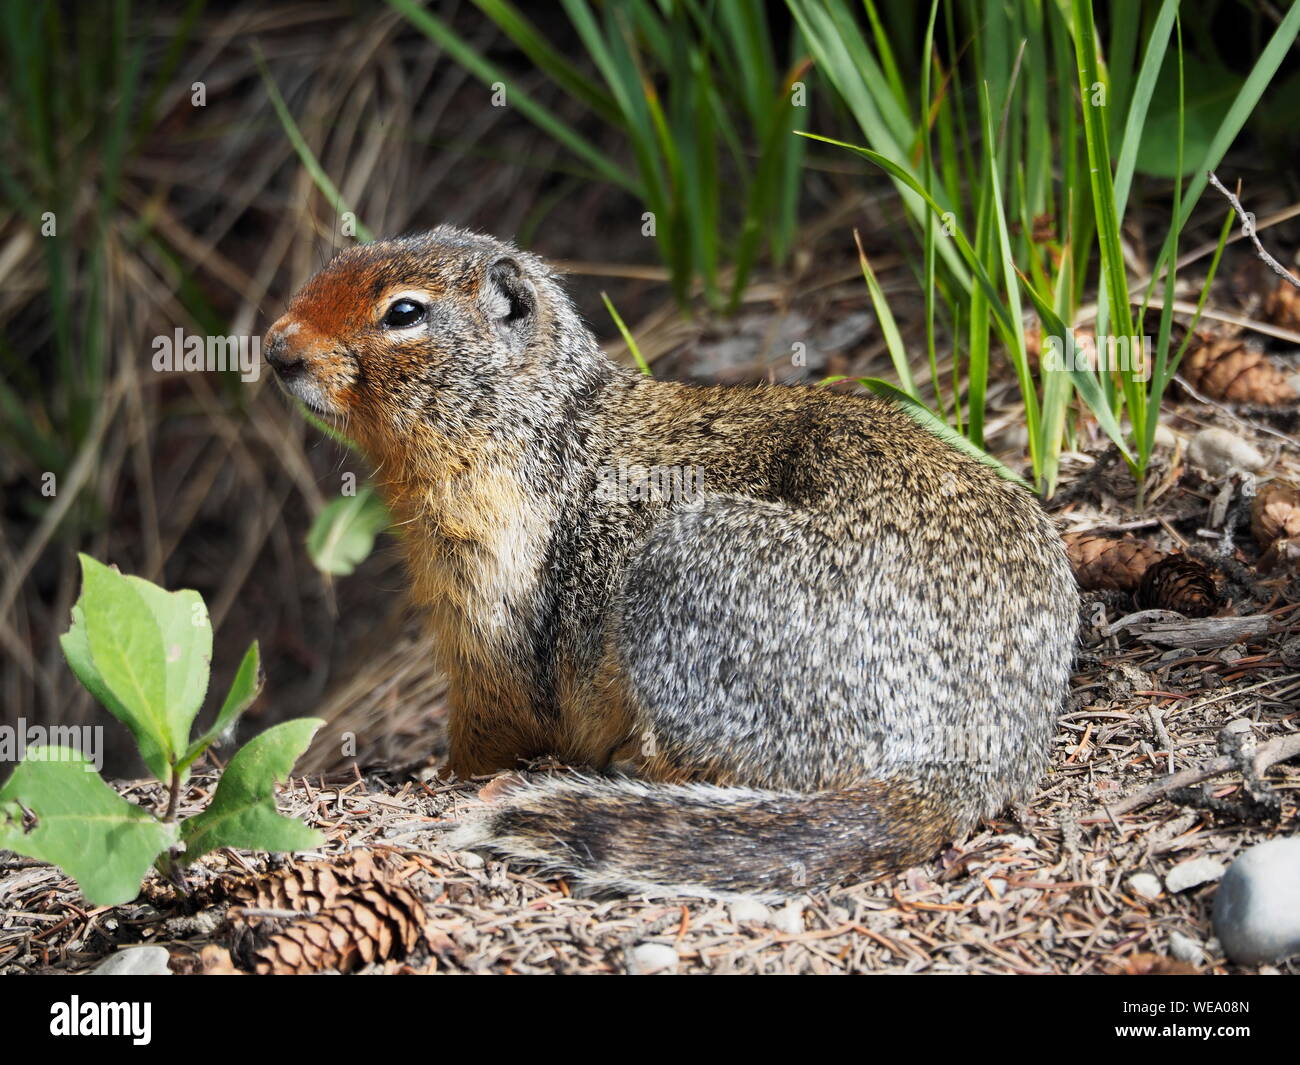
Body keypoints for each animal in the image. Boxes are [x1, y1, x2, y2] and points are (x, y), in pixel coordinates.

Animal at [266, 227, 1076, 899]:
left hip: (688, 569)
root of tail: (977, 746)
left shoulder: (490, 572)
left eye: (404, 312)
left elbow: (493, 709)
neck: (542, 422)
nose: (276, 348)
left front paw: (444, 776)